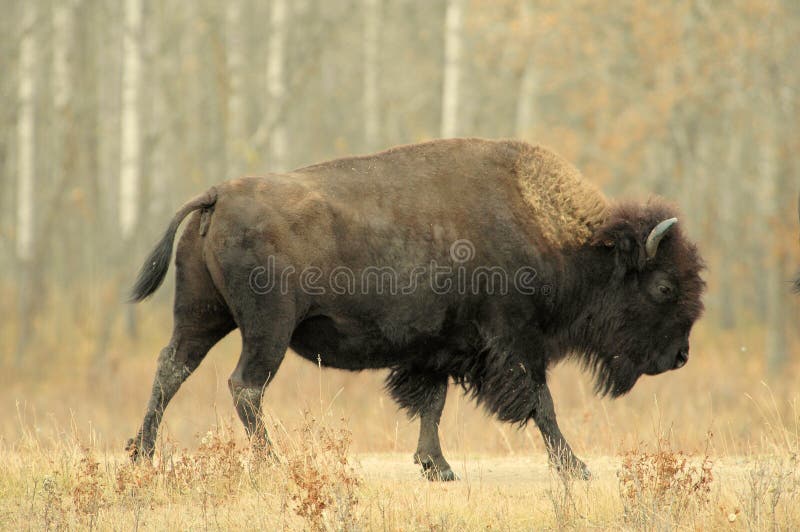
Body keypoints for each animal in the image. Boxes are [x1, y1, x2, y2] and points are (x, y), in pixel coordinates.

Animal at [125, 138, 705, 481]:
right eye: (663, 288)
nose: (679, 356)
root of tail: (218, 195)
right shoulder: (515, 342)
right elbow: (541, 404)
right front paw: (576, 468)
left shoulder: (438, 350)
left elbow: (432, 403)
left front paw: (436, 466)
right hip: (267, 330)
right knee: (244, 387)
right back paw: (273, 465)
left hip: (202, 316)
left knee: (172, 368)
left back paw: (141, 453)